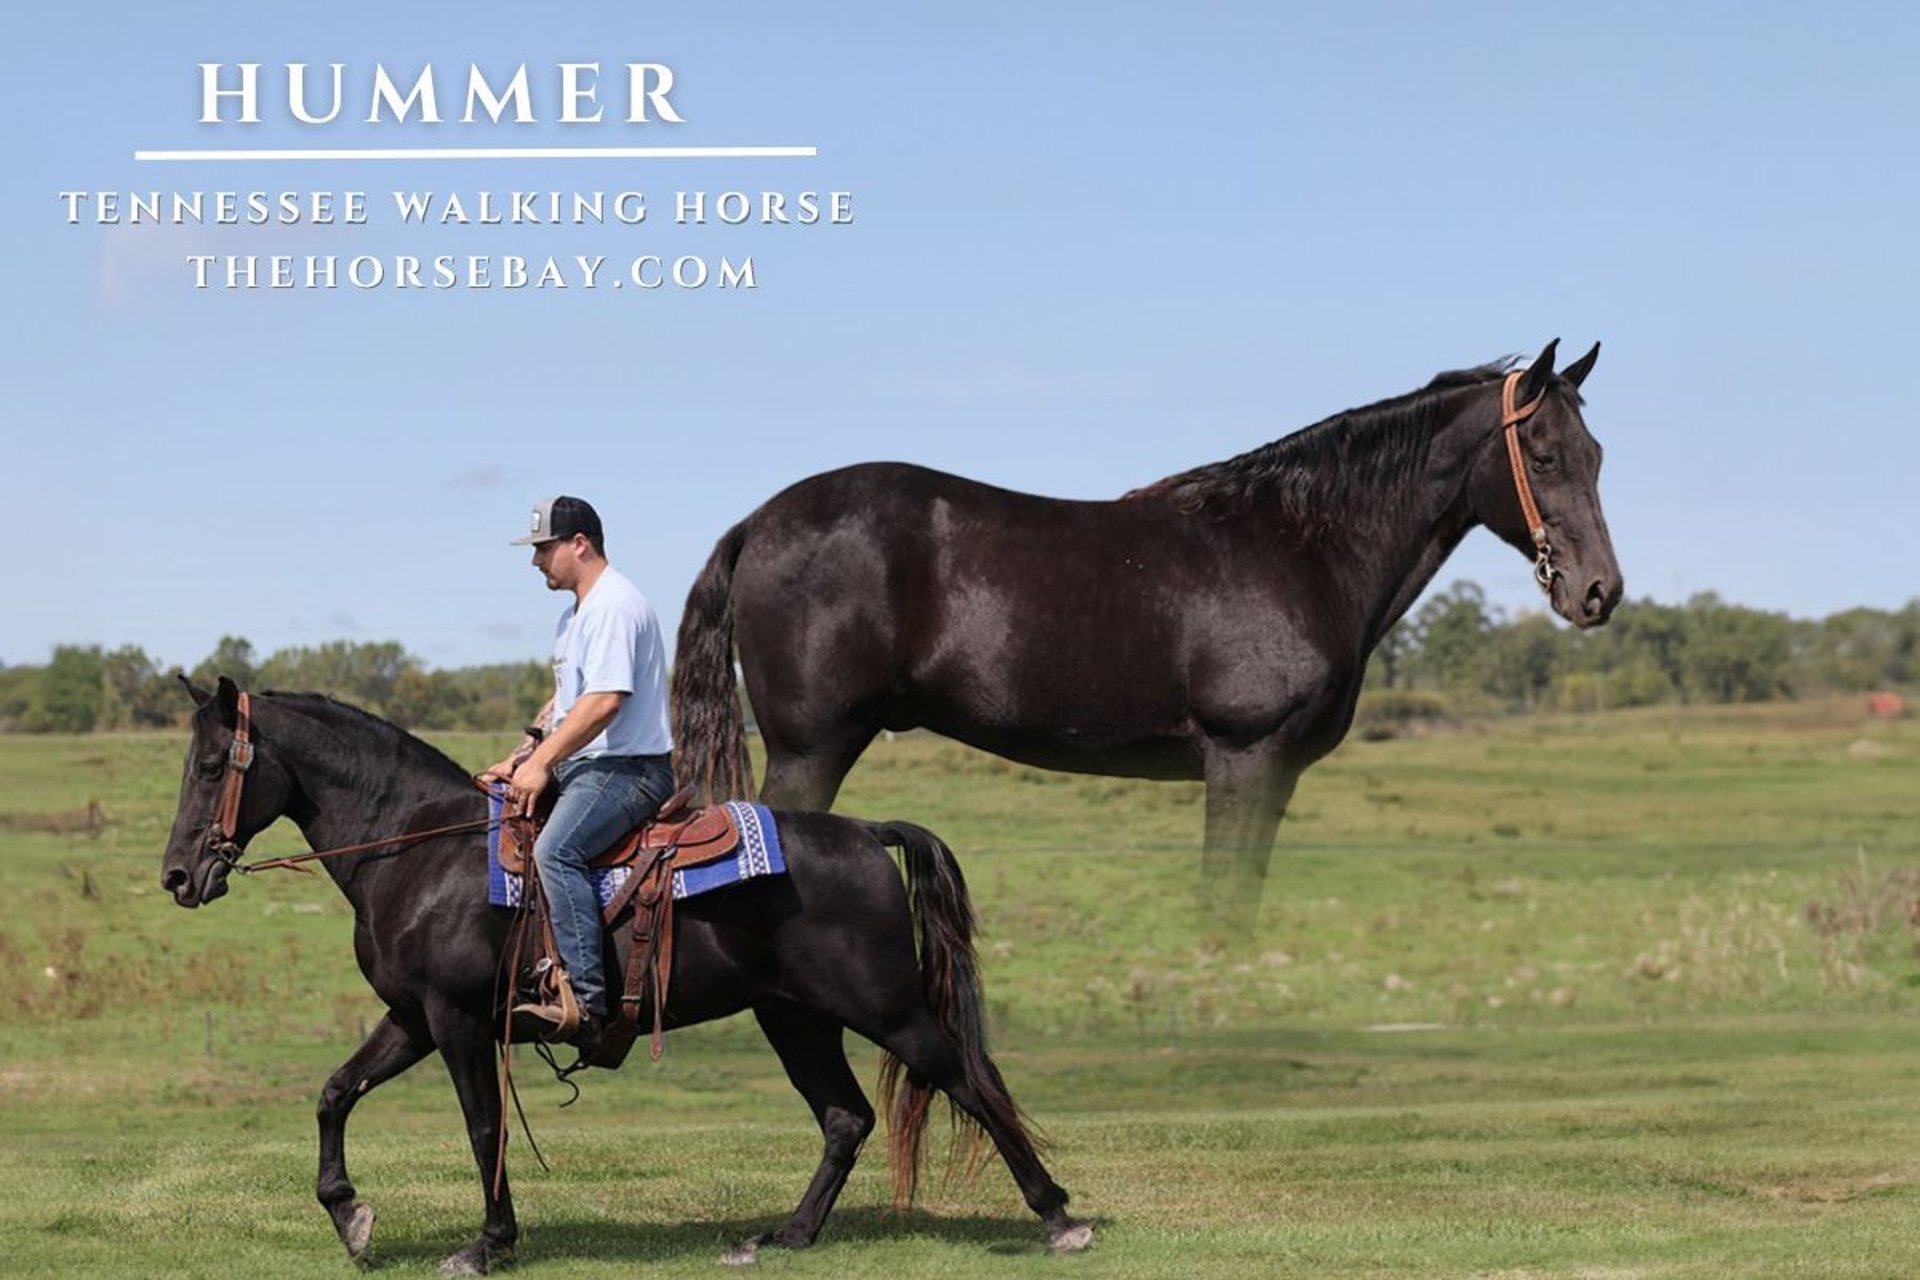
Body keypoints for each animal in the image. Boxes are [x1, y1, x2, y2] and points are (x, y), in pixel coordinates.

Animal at [158, 677, 1092, 1273]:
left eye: (209, 768)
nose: (176, 876)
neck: (419, 849)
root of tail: (865, 832)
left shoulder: (457, 1020)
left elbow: (484, 1128)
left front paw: (489, 1244)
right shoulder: (413, 1018)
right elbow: (333, 1094)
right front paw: (350, 1214)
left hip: (887, 1008)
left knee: (969, 1079)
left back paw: (1059, 1216)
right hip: (794, 1016)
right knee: (845, 1118)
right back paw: (786, 1236)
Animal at [672, 340, 1622, 935]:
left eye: (1598, 454)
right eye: (1542, 455)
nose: (1598, 592)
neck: (1297, 547)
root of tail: (759, 522)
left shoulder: (1275, 774)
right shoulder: (1244, 759)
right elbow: (1222, 904)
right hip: (813, 747)